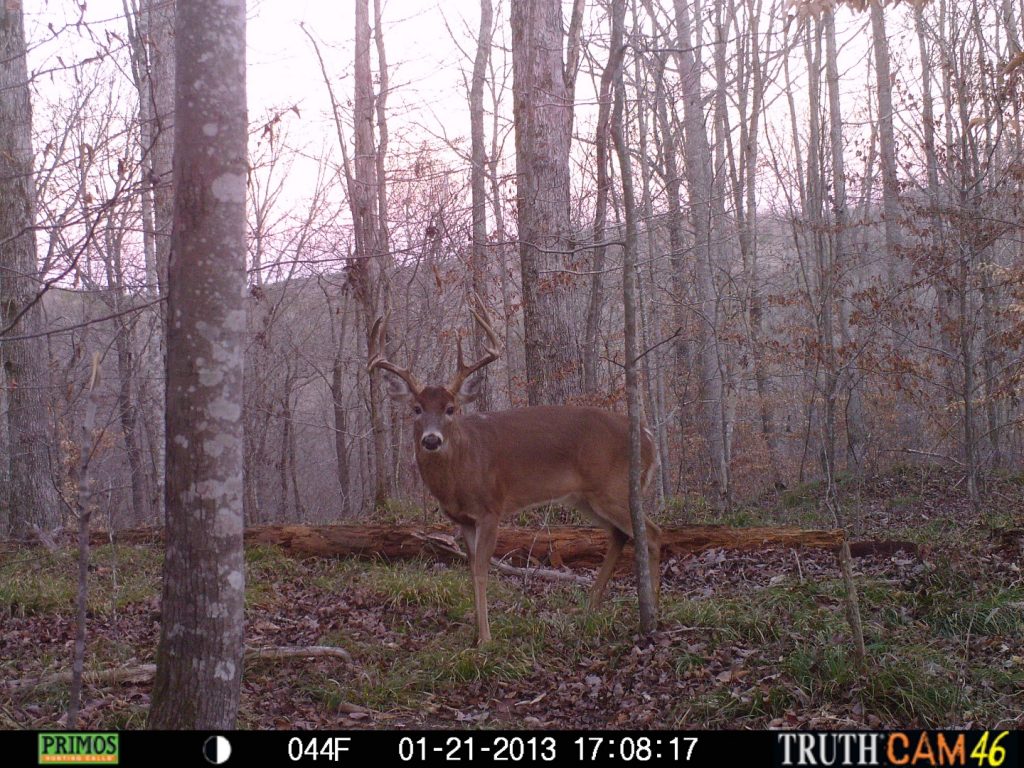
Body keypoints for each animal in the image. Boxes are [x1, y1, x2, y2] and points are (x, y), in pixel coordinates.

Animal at [368, 298, 661, 645]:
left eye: (451, 409)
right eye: (416, 409)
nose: (431, 439)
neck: (459, 474)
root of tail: (648, 437)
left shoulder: (491, 508)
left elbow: (482, 571)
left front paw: (485, 638)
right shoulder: (463, 519)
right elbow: (471, 570)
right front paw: (476, 630)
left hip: (613, 488)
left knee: (652, 535)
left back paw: (655, 613)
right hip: (585, 498)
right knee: (620, 534)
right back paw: (589, 607)